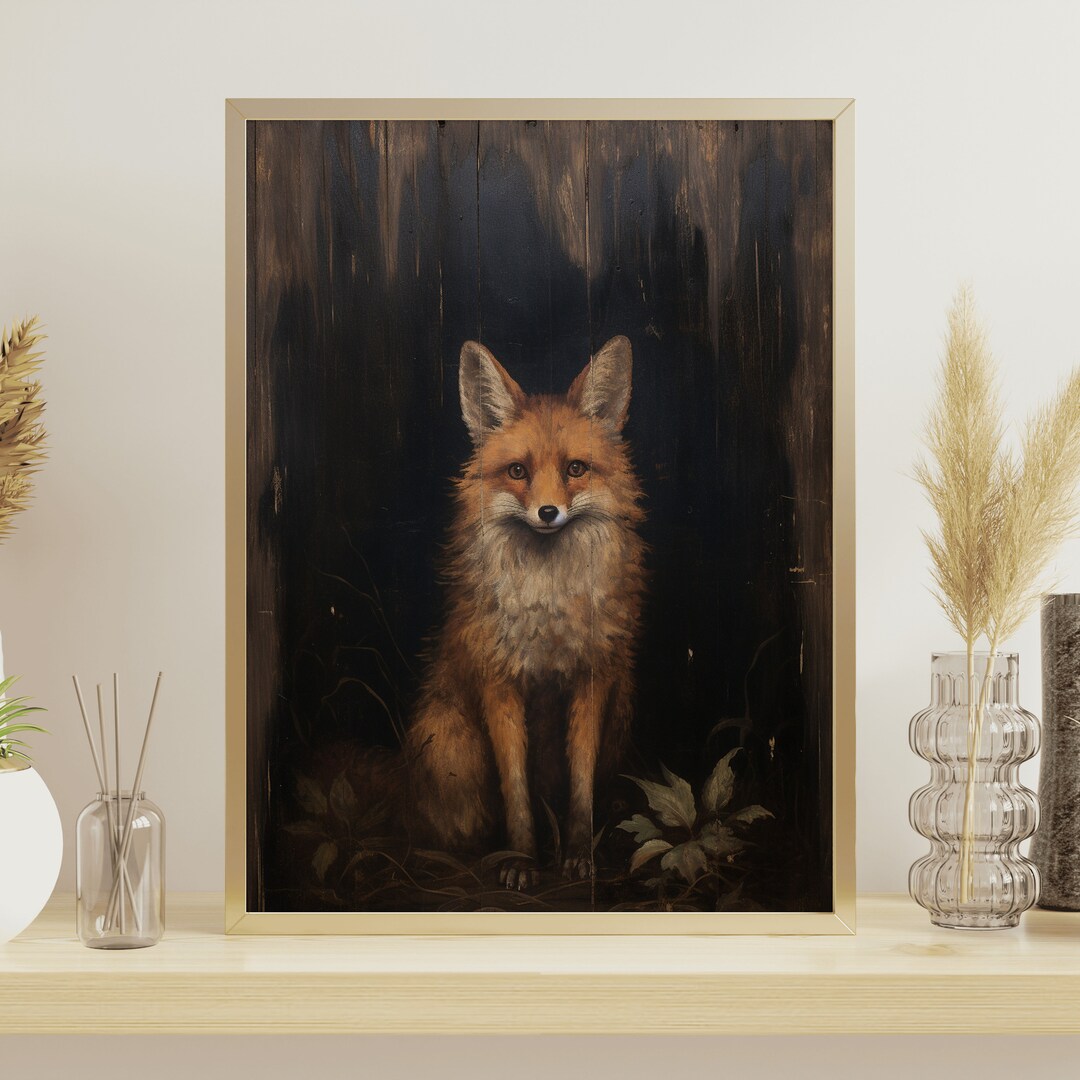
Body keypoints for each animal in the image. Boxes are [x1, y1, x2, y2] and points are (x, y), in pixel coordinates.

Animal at [405, 335, 647, 889]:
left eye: (575, 469)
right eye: (518, 471)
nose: (548, 513)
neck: (548, 608)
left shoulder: (593, 679)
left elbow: (581, 785)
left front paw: (578, 856)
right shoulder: (499, 681)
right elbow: (515, 790)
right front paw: (519, 861)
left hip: (621, 710)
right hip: (451, 743)